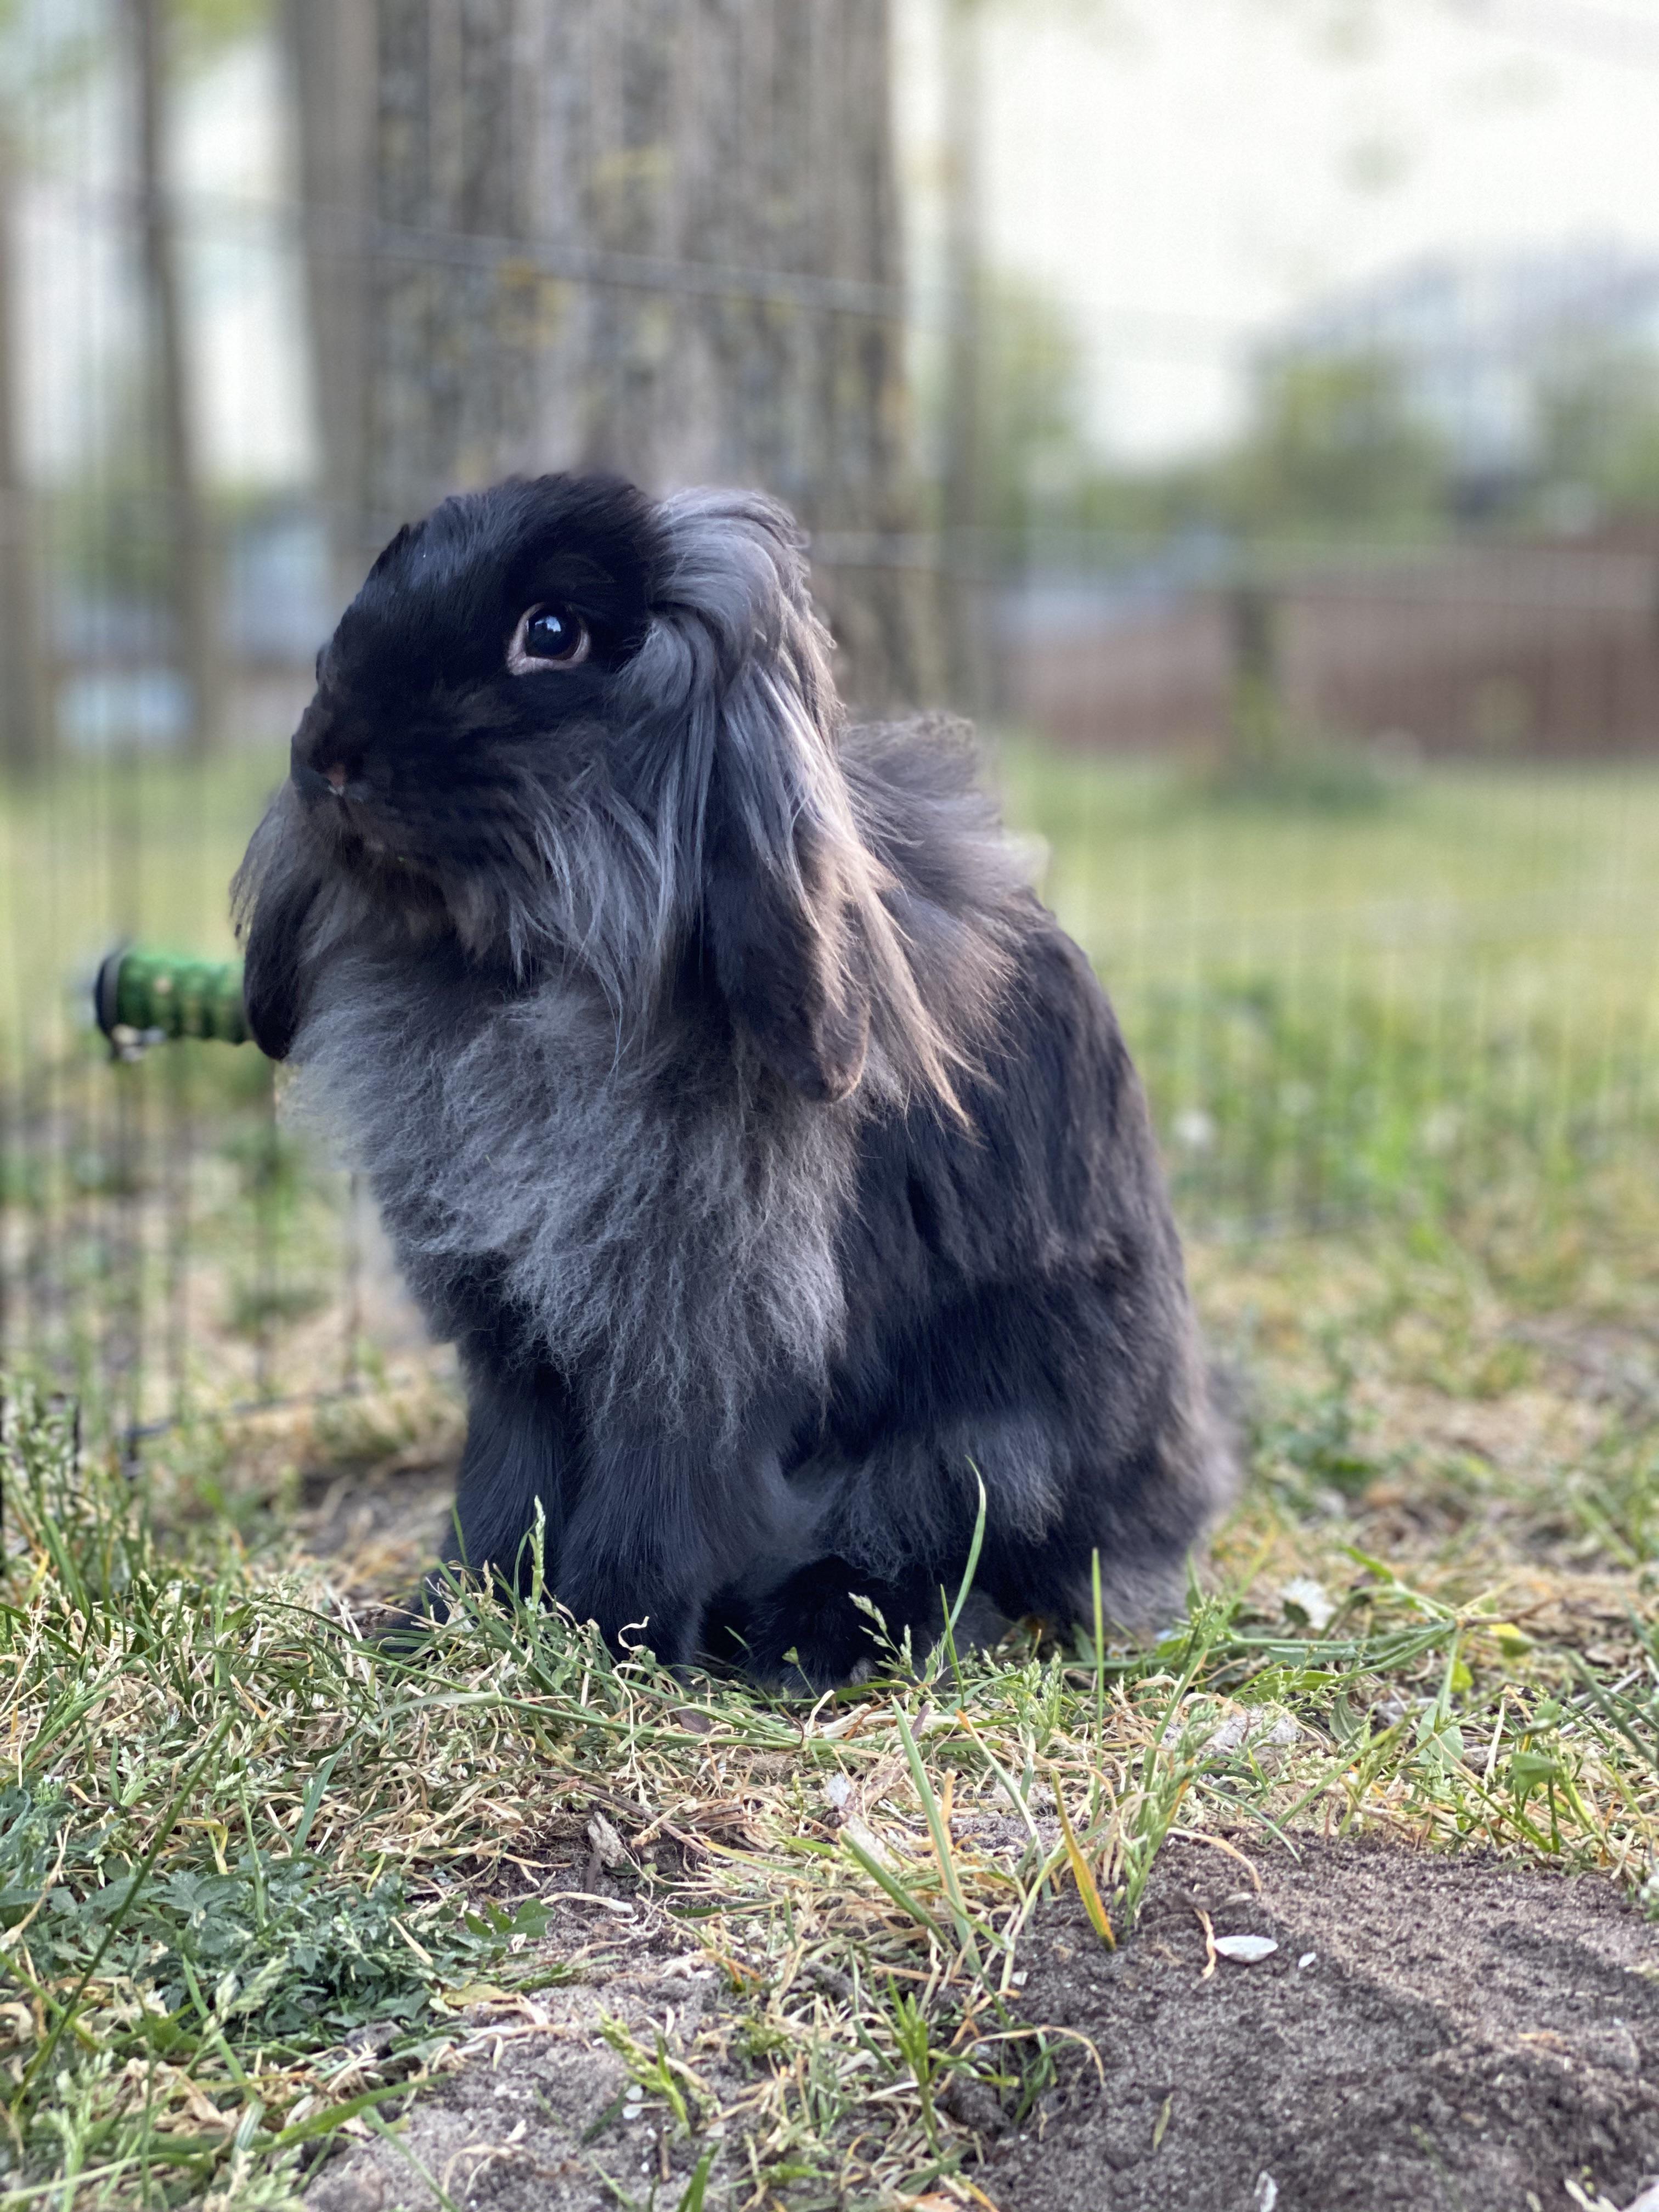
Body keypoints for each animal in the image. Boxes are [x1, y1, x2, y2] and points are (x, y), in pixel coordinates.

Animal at [232, 472, 1234, 1686]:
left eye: (550, 634)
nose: (329, 755)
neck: (515, 972)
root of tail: (1177, 1492)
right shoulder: (511, 1340)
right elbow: (505, 1483)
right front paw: (448, 1618)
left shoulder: (694, 1335)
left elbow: (658, 1496)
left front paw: (611, 1644)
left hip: (988, 1443)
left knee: (970, 1559)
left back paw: (819, 1633)